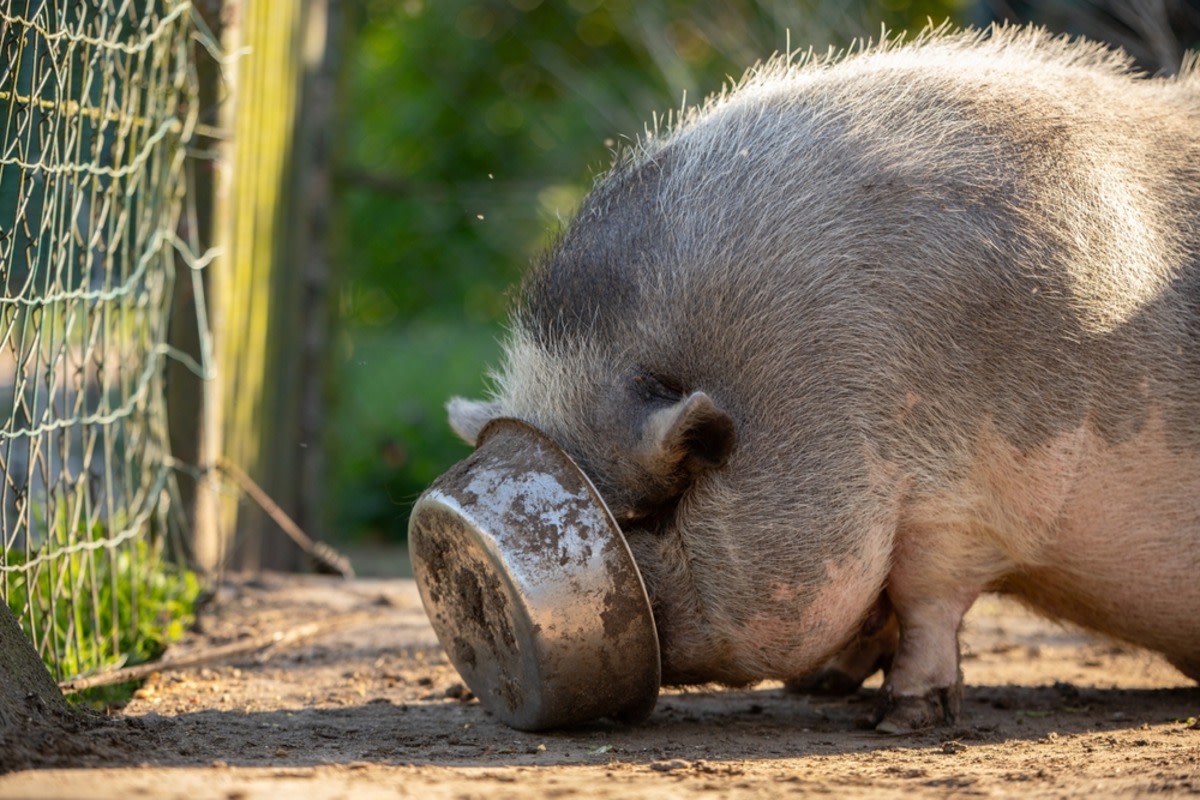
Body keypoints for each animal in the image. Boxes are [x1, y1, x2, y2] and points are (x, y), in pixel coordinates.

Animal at [447, 25, 1200, 732]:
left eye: (645, 513)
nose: (449, 542)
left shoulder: (971, 500)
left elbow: (926, 603)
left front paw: (901, 721)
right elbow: (883, 606)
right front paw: (819, 687)